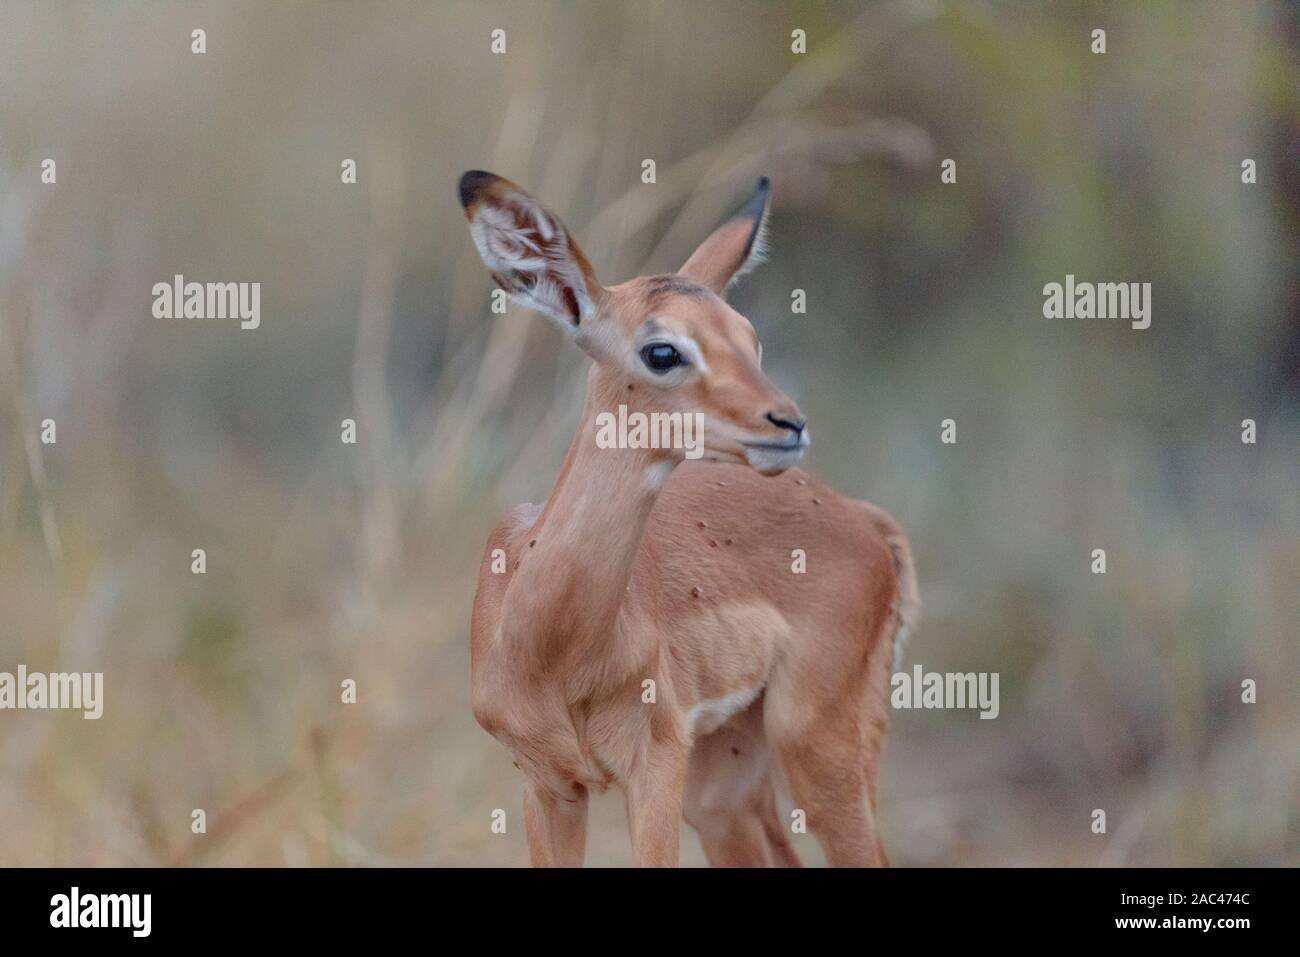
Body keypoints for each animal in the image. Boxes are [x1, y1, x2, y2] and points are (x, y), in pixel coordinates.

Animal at [461, 170, 919, 867]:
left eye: (750, 338)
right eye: (662, 350)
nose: (788, 423)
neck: (548, 645)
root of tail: (864, 519)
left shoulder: (653, 769)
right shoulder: (549, 787)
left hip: (816, 754)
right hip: (724, 787)